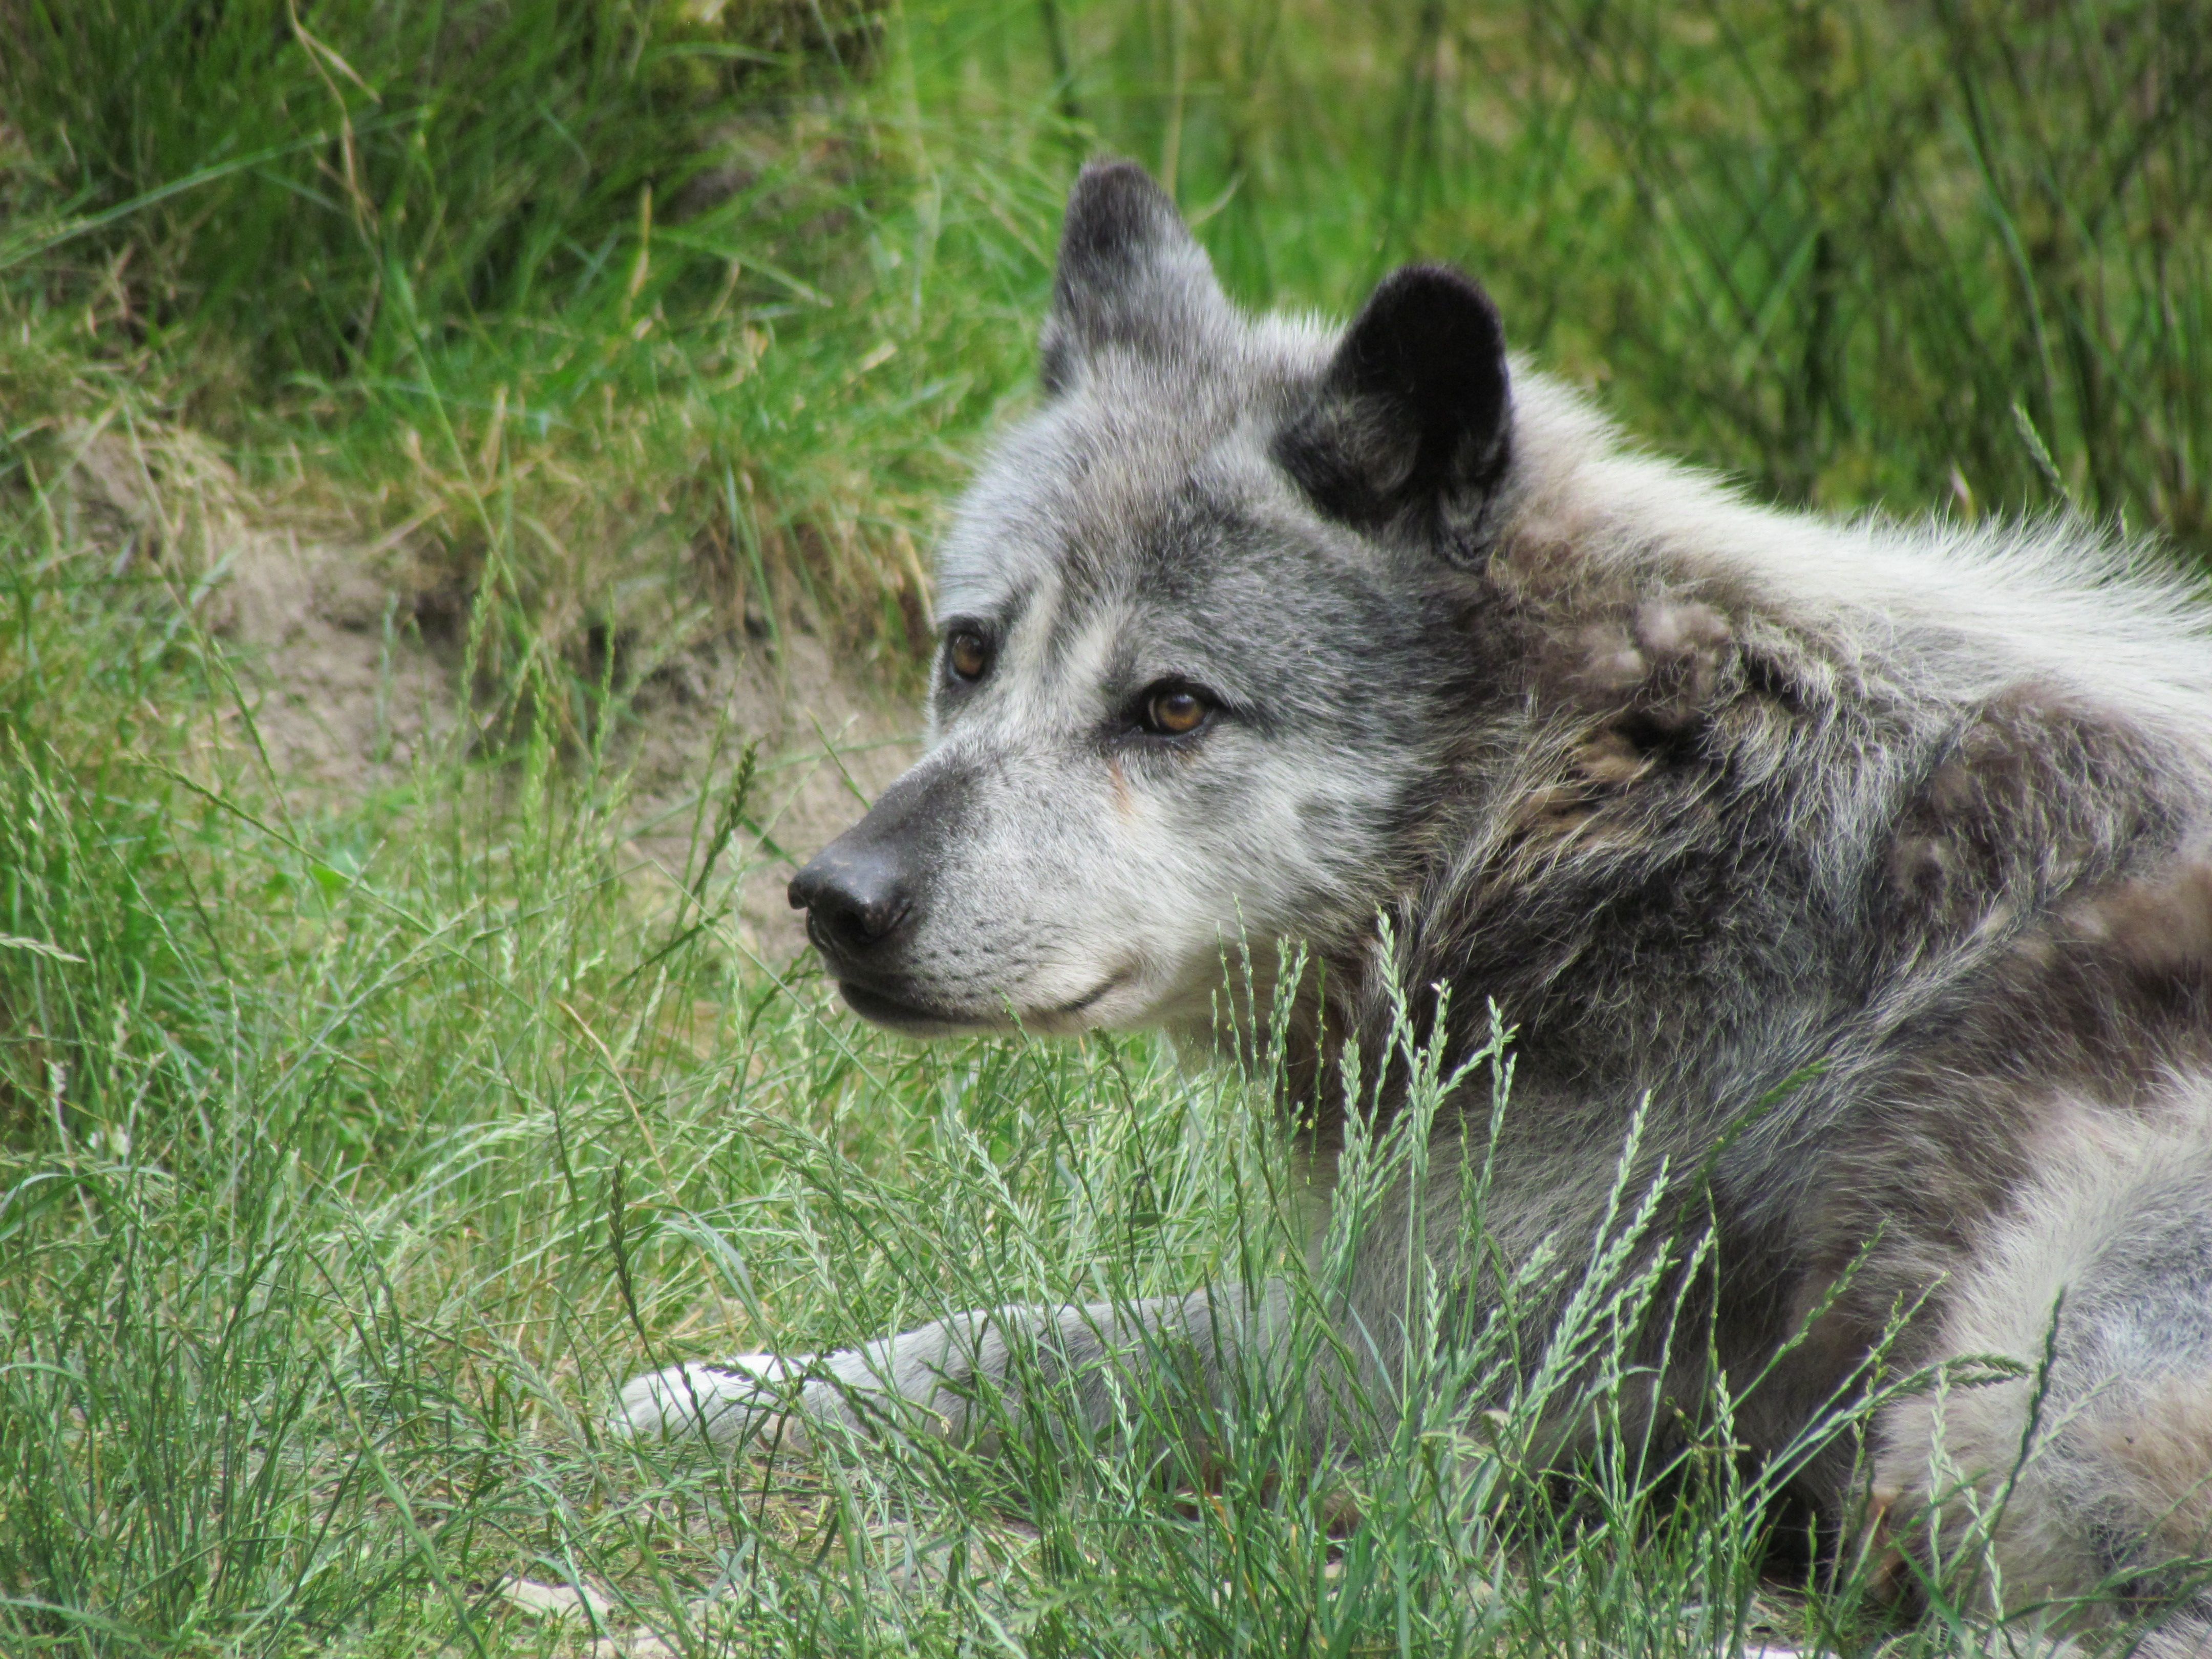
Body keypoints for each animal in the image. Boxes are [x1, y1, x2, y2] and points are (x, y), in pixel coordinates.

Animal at [621, 159, 2212, 1648]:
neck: (1614, 803)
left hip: (2000, 1370)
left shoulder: (1382, 1373)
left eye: (1173, 707)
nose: (835, 898)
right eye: (968, 654)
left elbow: (1001, 1348)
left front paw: (703, 1392)